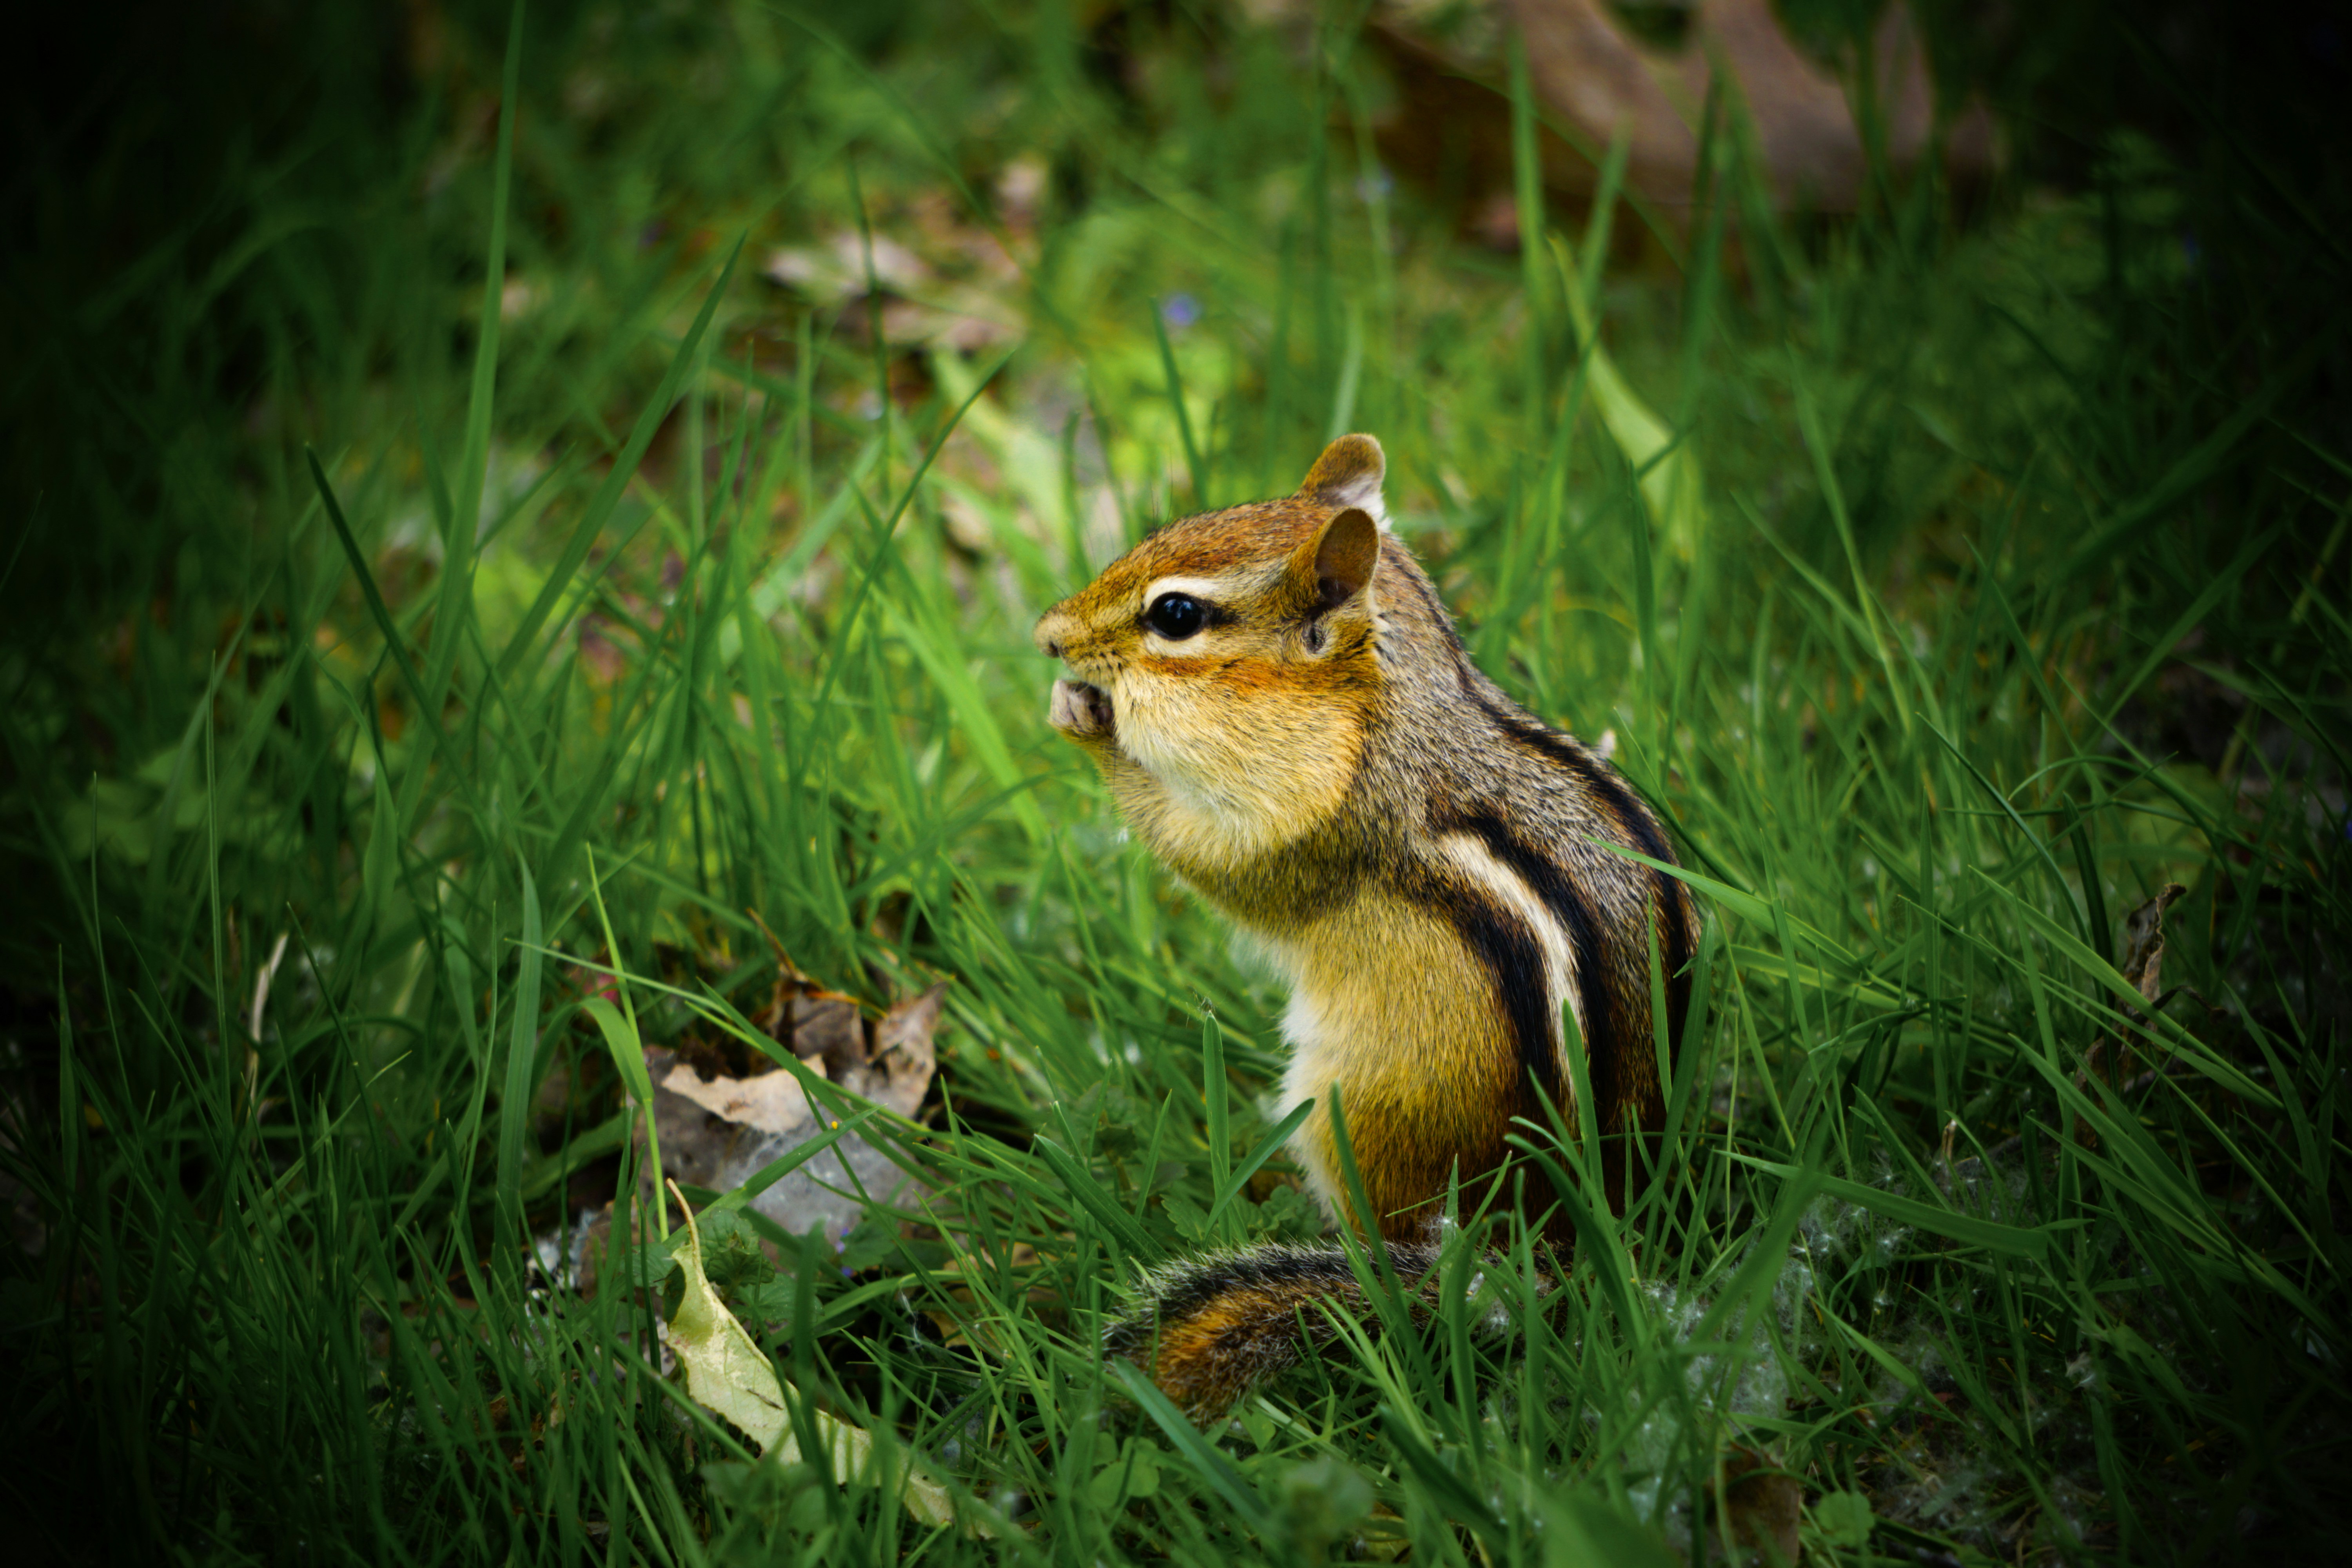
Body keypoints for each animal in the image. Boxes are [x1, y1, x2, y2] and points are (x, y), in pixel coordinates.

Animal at [1034, 434, 1698, 1415]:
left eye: (1177, 615)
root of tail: (1543, 1252)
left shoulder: (1308, 819)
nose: (1048, 632)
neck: (1383, 699)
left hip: (1363, 1115)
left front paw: (1087, 718)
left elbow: (1214, 862)